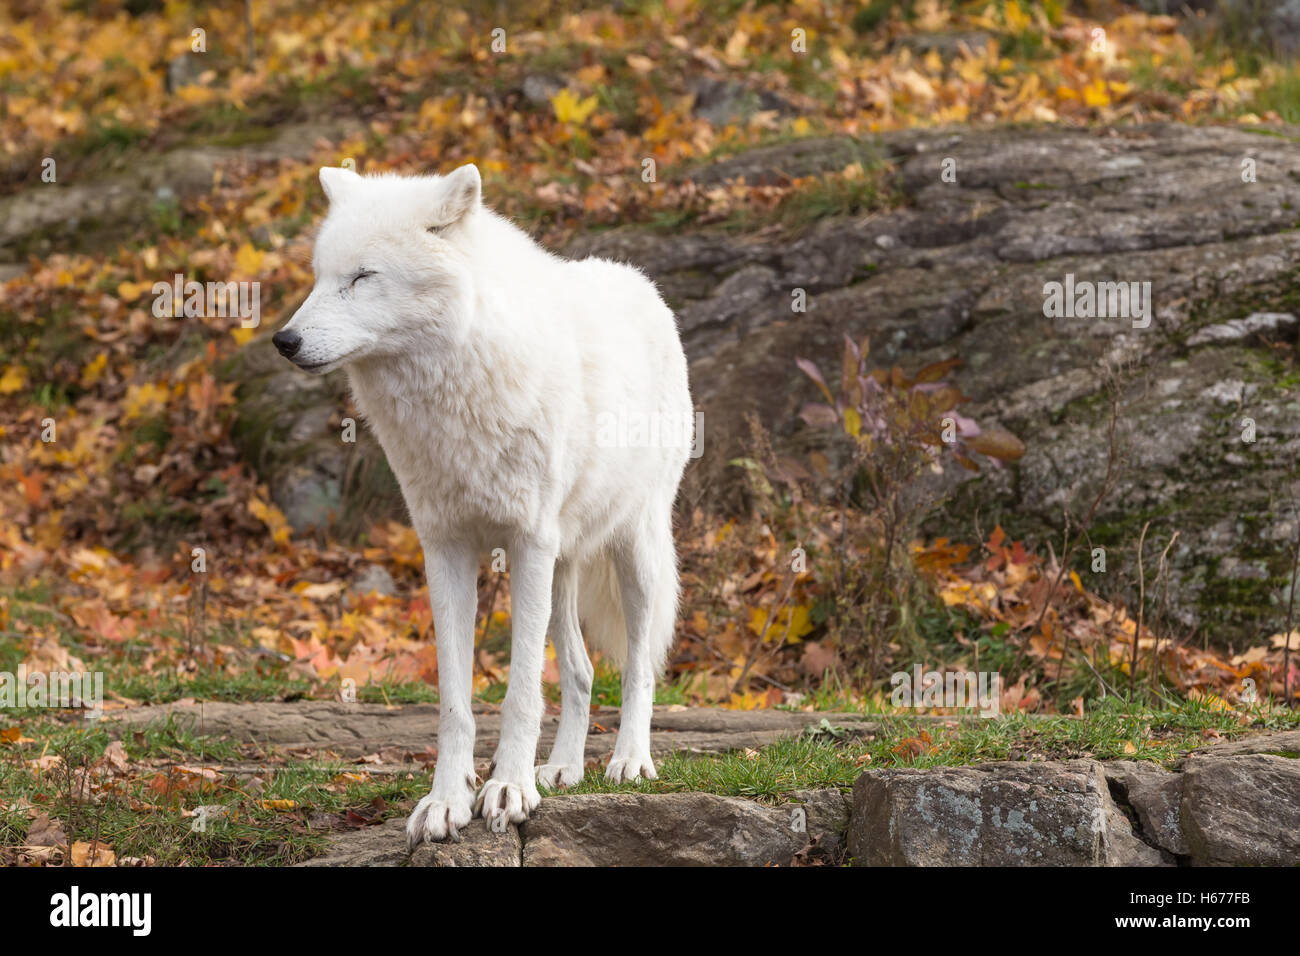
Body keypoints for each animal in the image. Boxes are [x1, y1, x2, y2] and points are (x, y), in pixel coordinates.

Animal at [273, 164, 692, 846]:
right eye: (318, 277)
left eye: (362, 277)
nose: (284, 340)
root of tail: (639, 281)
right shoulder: (445, 548)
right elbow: (455, 702)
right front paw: (447, 801)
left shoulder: (527, 543)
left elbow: (521, 692)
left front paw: (508, 790)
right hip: (562, 567)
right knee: (580, 671)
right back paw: (564, 769)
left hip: (634, 552)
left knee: (638, 668)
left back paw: (629, 761)